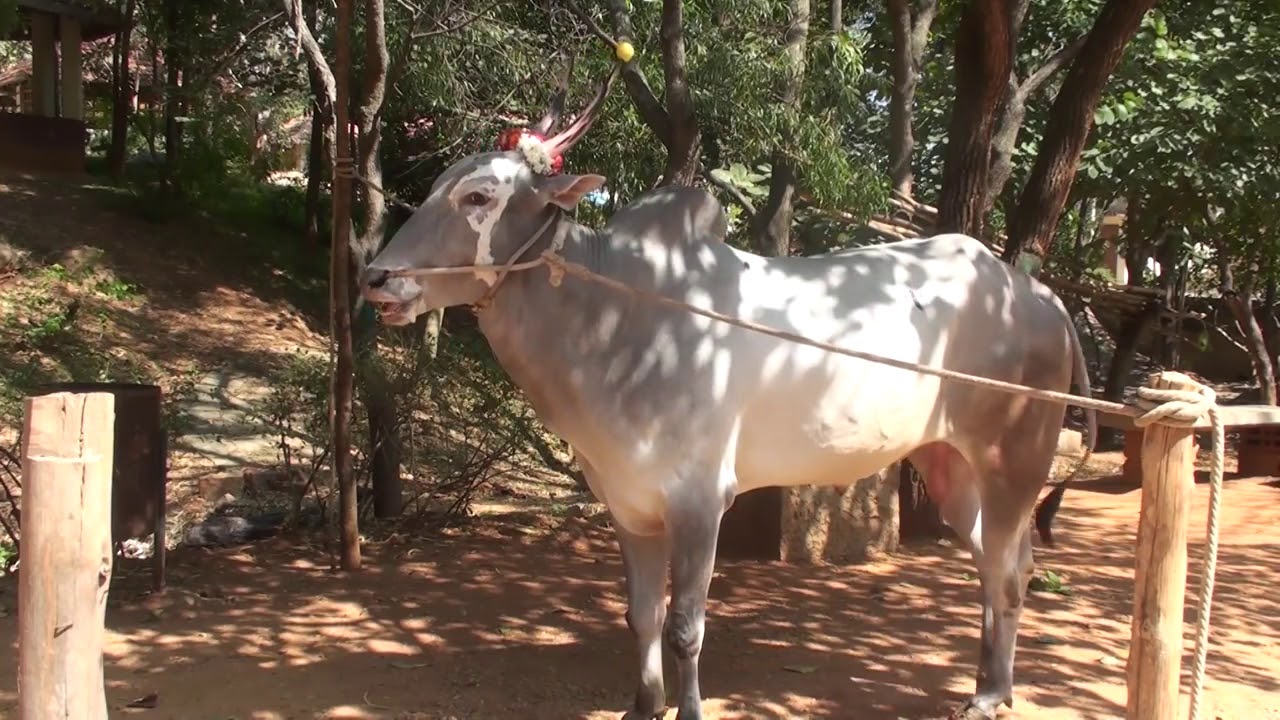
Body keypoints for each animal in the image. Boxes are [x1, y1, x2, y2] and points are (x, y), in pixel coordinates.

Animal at [359, 71, 1096, 720]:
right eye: (438, 185)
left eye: (479, 197)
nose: (376, 278)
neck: (616, 312)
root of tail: (1043, 298)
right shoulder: (627, 503)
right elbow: (642, 615)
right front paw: (643, 705)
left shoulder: (699, 498)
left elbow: (686, 625)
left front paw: (685, 708)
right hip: (951, 467)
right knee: (998, 565)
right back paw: (992, 684)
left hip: (1013, 461)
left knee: (1009, 570)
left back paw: (990, 695)